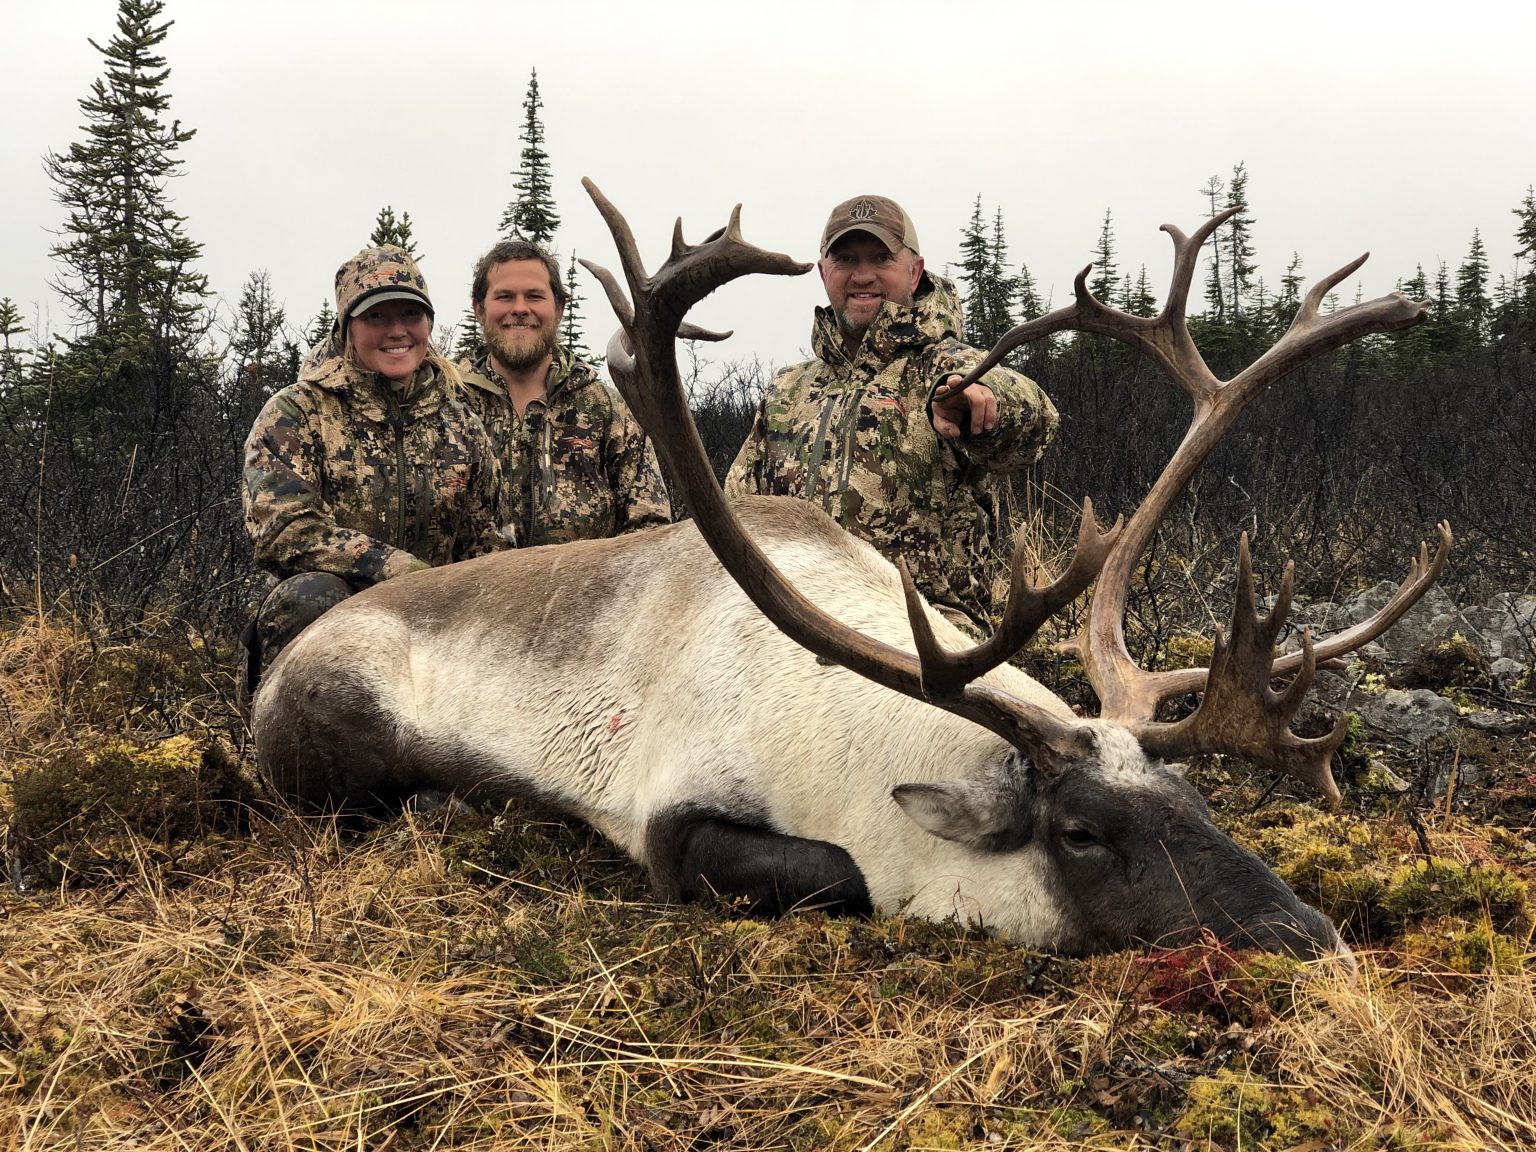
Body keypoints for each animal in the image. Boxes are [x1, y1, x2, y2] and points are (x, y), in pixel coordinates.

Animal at [252, 180, 1449, 964]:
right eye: (1079, 832)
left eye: (1191, 796)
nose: (1312, 937)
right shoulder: (676, 824)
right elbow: (843, 875)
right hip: (324, 745)